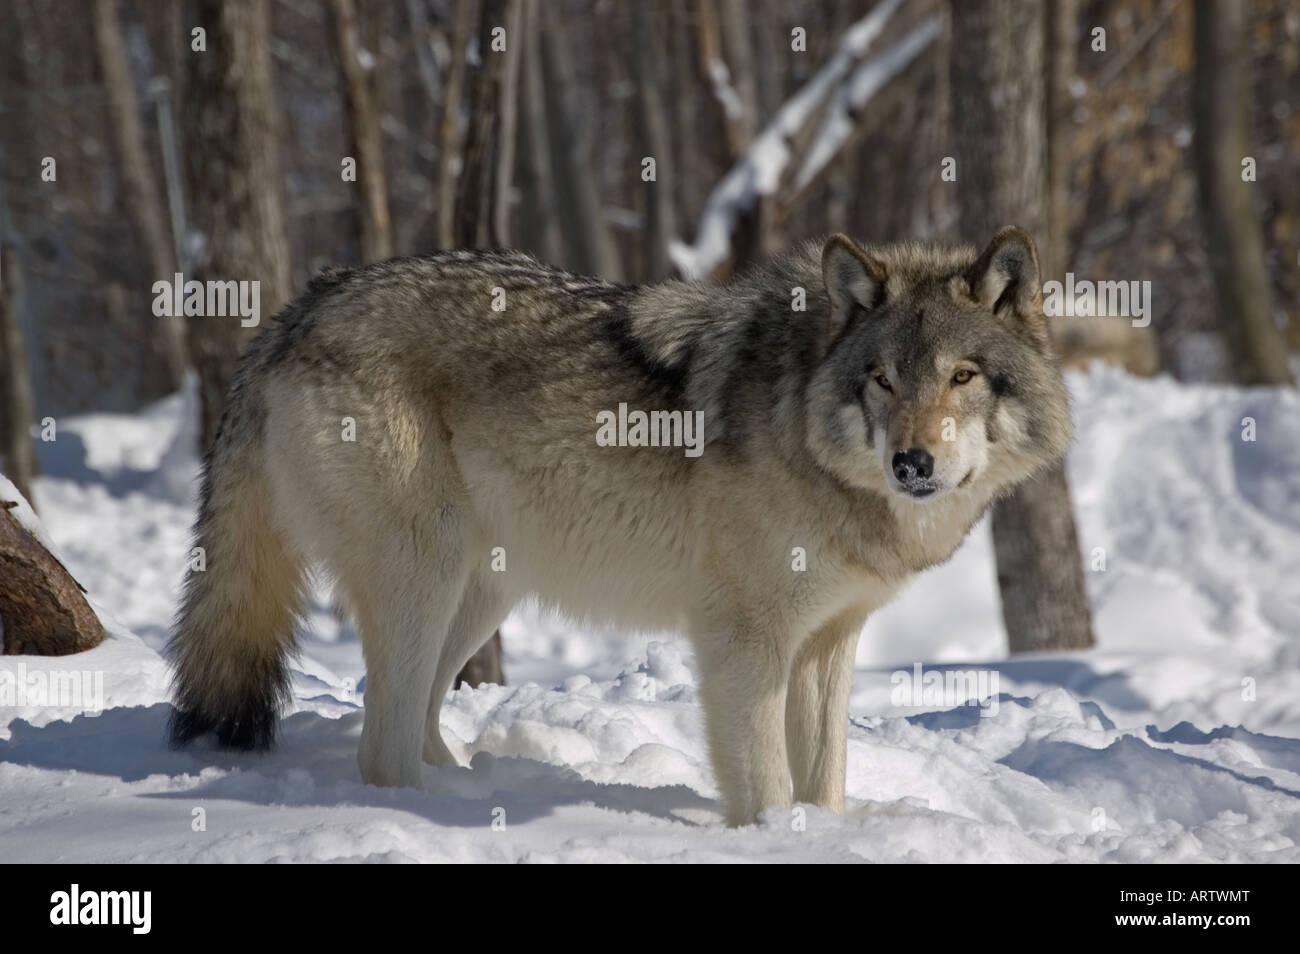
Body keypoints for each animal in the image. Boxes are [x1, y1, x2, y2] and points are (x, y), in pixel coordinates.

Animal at [167, 226, 1071, 826]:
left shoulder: (827, 642)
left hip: (479, 592)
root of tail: (298, 309)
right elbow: (768, 787)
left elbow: (825, 780)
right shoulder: (744, 638)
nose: (912, 464)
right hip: (428, 576)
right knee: (381, 750)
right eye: (881, 380)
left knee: (415, 722)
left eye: (962, 377)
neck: (804, 424)